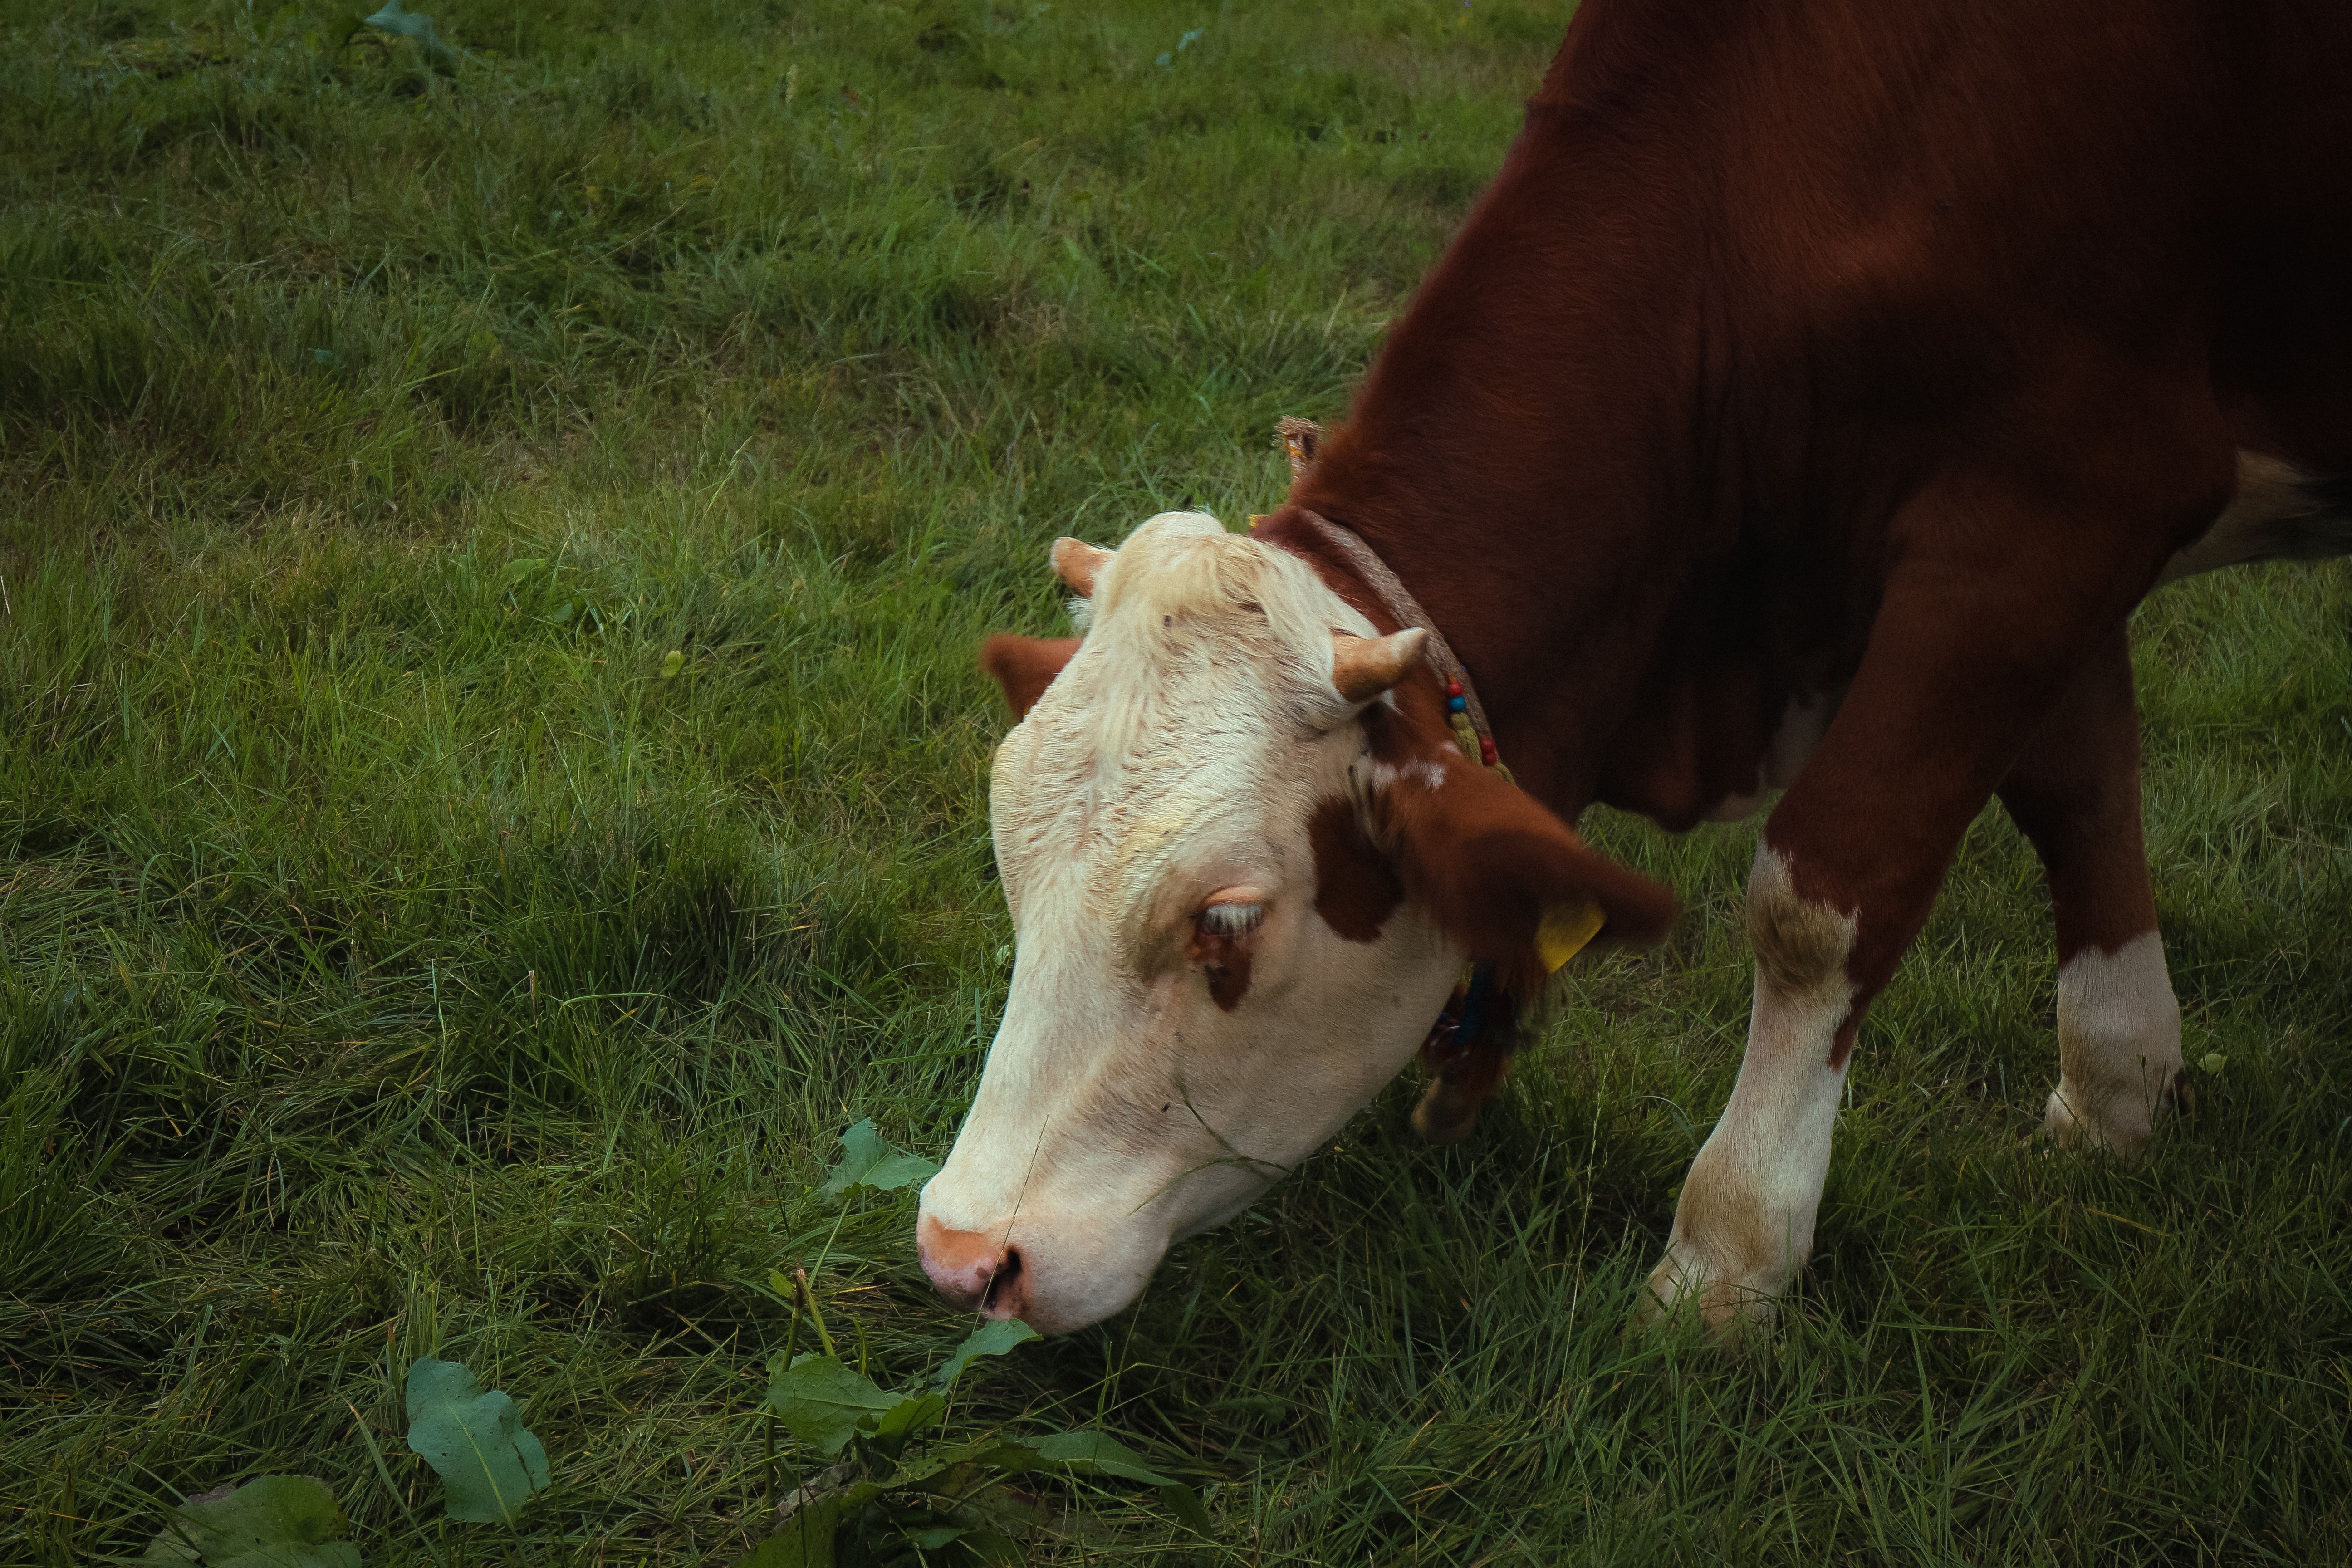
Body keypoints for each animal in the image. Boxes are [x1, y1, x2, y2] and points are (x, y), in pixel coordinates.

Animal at [915, 0, 2352, 1336]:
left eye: (1225, 923)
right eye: (1014, 876)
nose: (963, 1252)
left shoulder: (2047, 510)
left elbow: (1826, 890)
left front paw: (1728, 1259)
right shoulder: (2065, 542)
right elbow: (2081, 795)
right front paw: (2116, 1094)